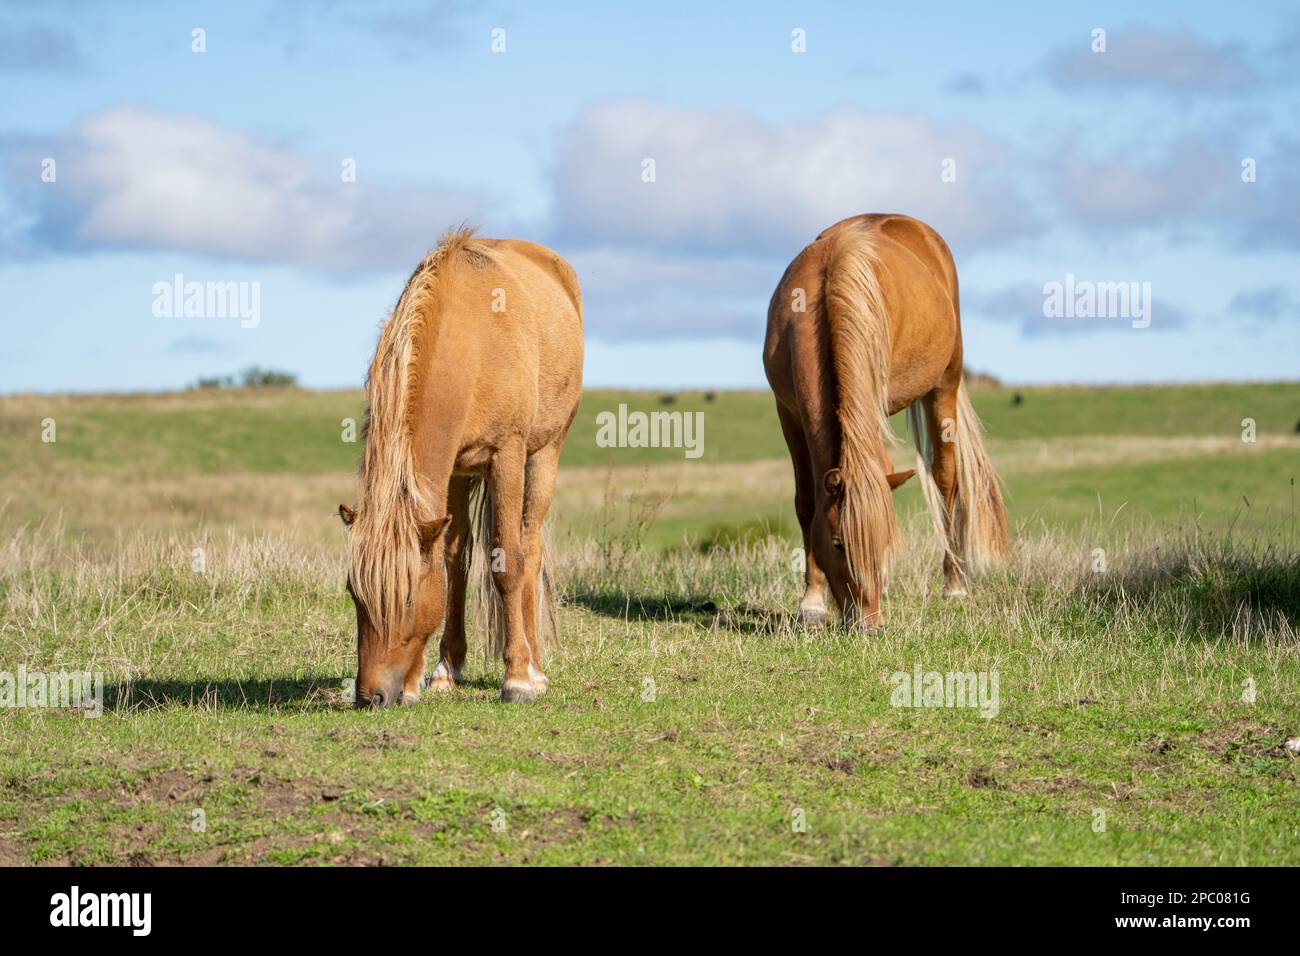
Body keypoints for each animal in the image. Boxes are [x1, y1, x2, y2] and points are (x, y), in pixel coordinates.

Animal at [338, 227, 584, 706]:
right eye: (354, 595)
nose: (370, 696)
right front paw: (430, 676)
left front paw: (517, 678)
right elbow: (452, 565)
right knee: (461, 553)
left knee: (529, 546)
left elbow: (509, 562)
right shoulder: (451, 469)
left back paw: (535, 668)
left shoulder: (506, 455)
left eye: (407, 598)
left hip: (544, 455)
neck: (471, 344)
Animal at [763, 214, 1008, 628]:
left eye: (885, 544)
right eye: (839, 544)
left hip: (944, 386)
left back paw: (955, 582)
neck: (825, 294)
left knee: (947, 480)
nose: (869, 624)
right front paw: (811, 601)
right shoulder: (788, 414)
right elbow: (806, 502)